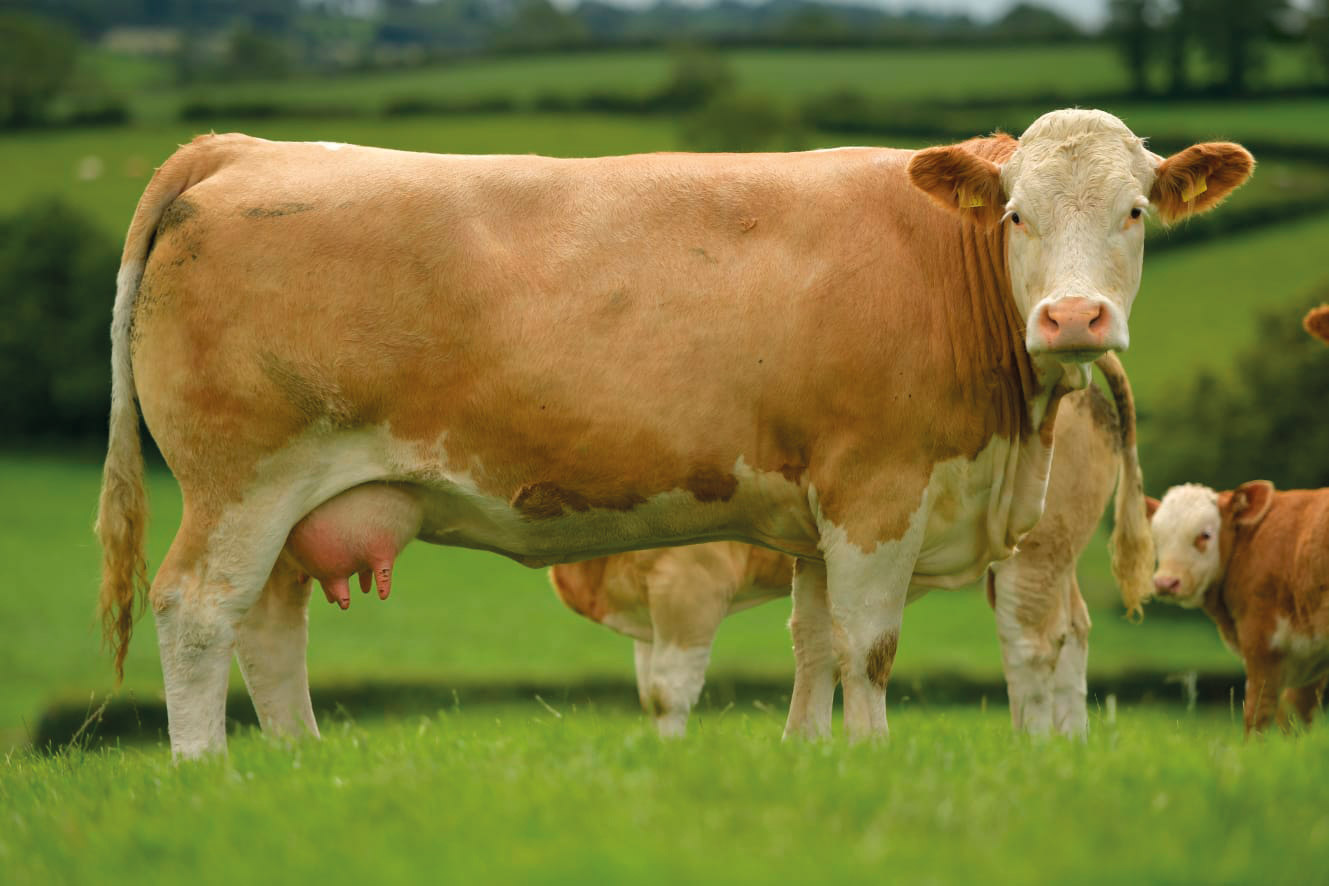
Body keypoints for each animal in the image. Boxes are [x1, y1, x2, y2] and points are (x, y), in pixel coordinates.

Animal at [552, 355, 1149, 738]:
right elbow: (647, 688)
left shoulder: (691, 581)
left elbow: (667, 690)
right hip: (1060, 546)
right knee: (1074, 627)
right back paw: (1071, 746)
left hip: (1038, 546)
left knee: (1035, 639)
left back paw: (1037, 750)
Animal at [1148, 482, 1329, 733]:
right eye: (1156, 538)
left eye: (1205, 535)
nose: (1165, 583)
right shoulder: (1311, 657)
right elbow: (1295, 719)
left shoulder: (1261, 642)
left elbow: (1257, 716)